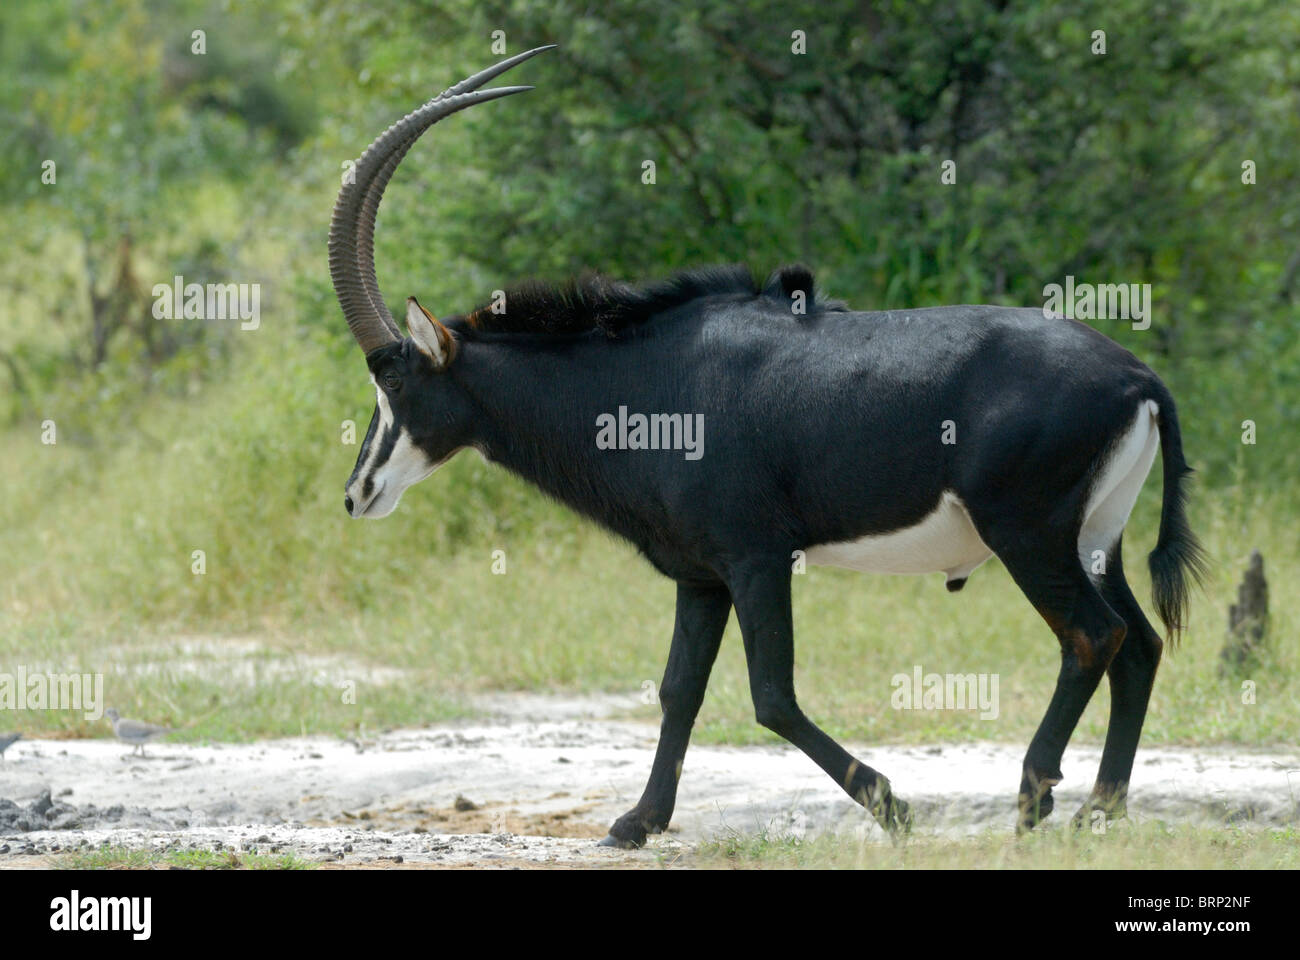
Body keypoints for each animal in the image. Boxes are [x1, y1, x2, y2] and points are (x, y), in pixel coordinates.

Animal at [328, 46, 1205, 846]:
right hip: (1093, 538)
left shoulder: (756, 557)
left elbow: (770, 695)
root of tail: (1139, 377)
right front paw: (637, 822)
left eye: (393, 382)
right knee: (1138, 643)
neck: (646, 375)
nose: (356, 494)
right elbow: (678, 689)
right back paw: (1100, 809)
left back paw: (1034, 802)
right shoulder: (702, 576)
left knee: (1092, 636)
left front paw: (894, 808)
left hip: (1028, 536)